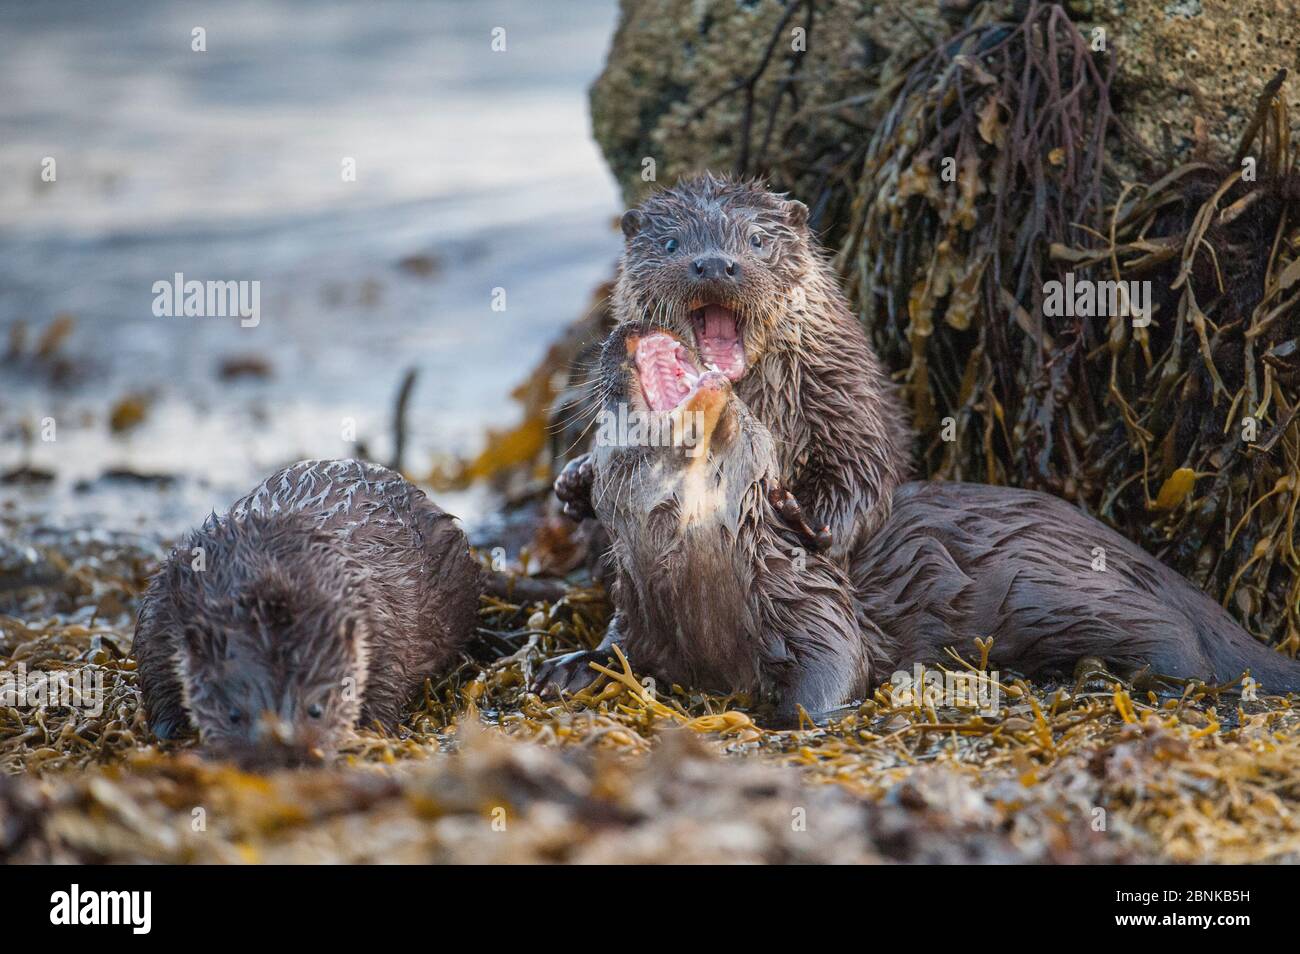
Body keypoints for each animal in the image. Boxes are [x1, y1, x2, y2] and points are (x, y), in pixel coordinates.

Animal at [134, 459, 483, 761]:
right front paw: (167, 729)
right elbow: (156, 678)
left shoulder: (382, 622)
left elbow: (387, 684)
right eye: (233, 714)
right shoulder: (162, 607)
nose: (284, 752)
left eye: (316, 709)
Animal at [537, 328, 1300, 706]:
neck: (702, 584)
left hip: (1141, 619)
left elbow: (837, 674)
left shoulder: (810, 603)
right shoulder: (639, 607)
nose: (626, 329)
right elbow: (618, 648)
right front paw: (564, 670)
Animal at [556, 173, 910, 563]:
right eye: (670, 244)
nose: (713, 265)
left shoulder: (847, 395)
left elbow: (863, 472)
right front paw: (576, 478)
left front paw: (807, 522)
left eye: (757, 240)